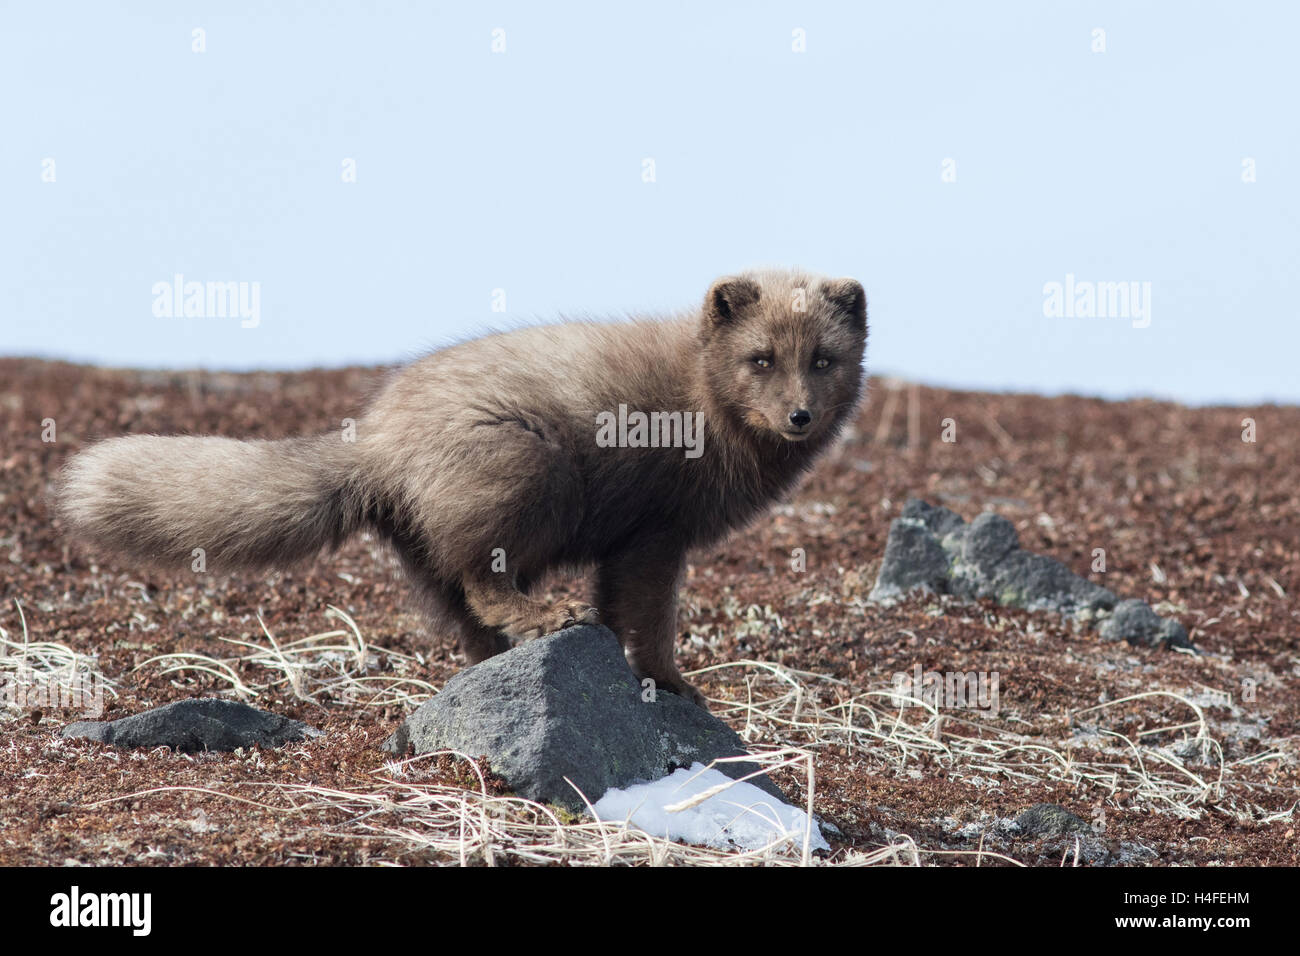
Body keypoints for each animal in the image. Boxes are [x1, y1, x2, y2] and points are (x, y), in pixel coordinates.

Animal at [59, 269, 868, 707]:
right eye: (761, 358)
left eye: (823, 359)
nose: (799, 415)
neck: (699, 404)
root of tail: (377, 439)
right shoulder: (657, 530)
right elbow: (646, 618)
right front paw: (675, 684)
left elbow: (626, 609)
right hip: (525, 469)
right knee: (482, 579)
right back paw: (544, 617)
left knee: (462, 614)